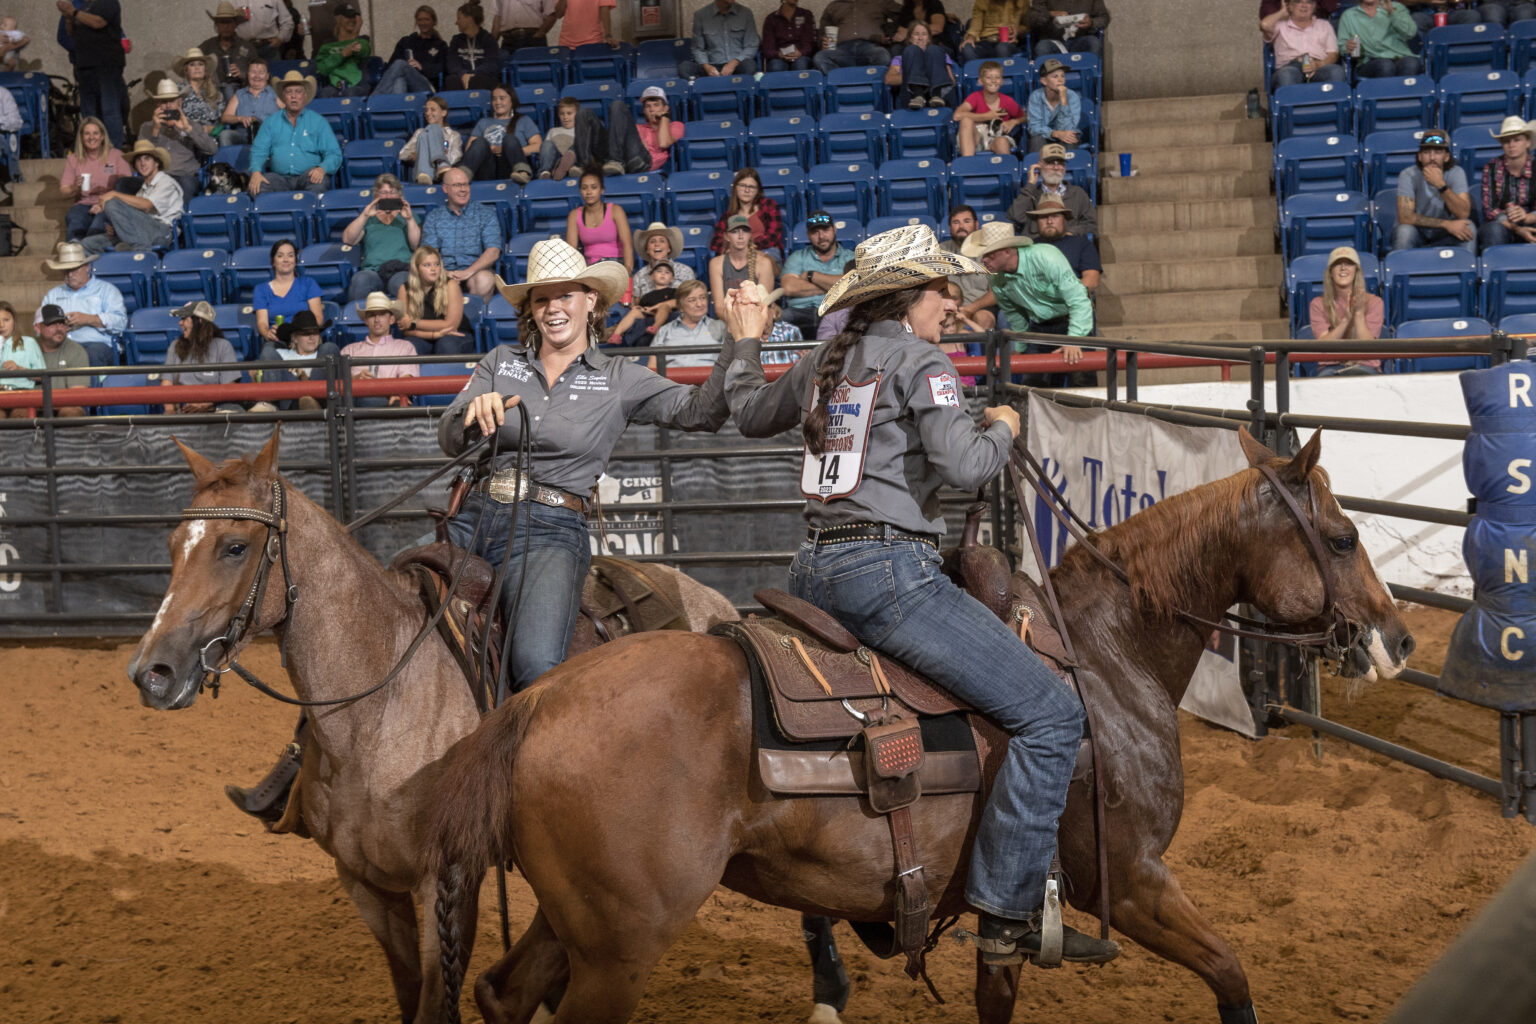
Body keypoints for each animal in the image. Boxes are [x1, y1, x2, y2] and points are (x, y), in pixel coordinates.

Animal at [124, 428, 741, 1024]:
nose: (151, 672)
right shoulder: (366, 885)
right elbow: (409, 995)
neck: (378, 713)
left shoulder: (448, 883)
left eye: (235, 547)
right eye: (173, 546)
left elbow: (435, 1004)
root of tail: (710, 599)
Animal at [422, 428, 1416, 1024]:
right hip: (621, 946)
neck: (1107, 656)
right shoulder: (1131, 881)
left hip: (580, 927)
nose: (1398, 638)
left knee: (503, 995)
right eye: (1340, 538)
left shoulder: (1008, 908)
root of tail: (536, 703)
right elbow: (1231, 973)